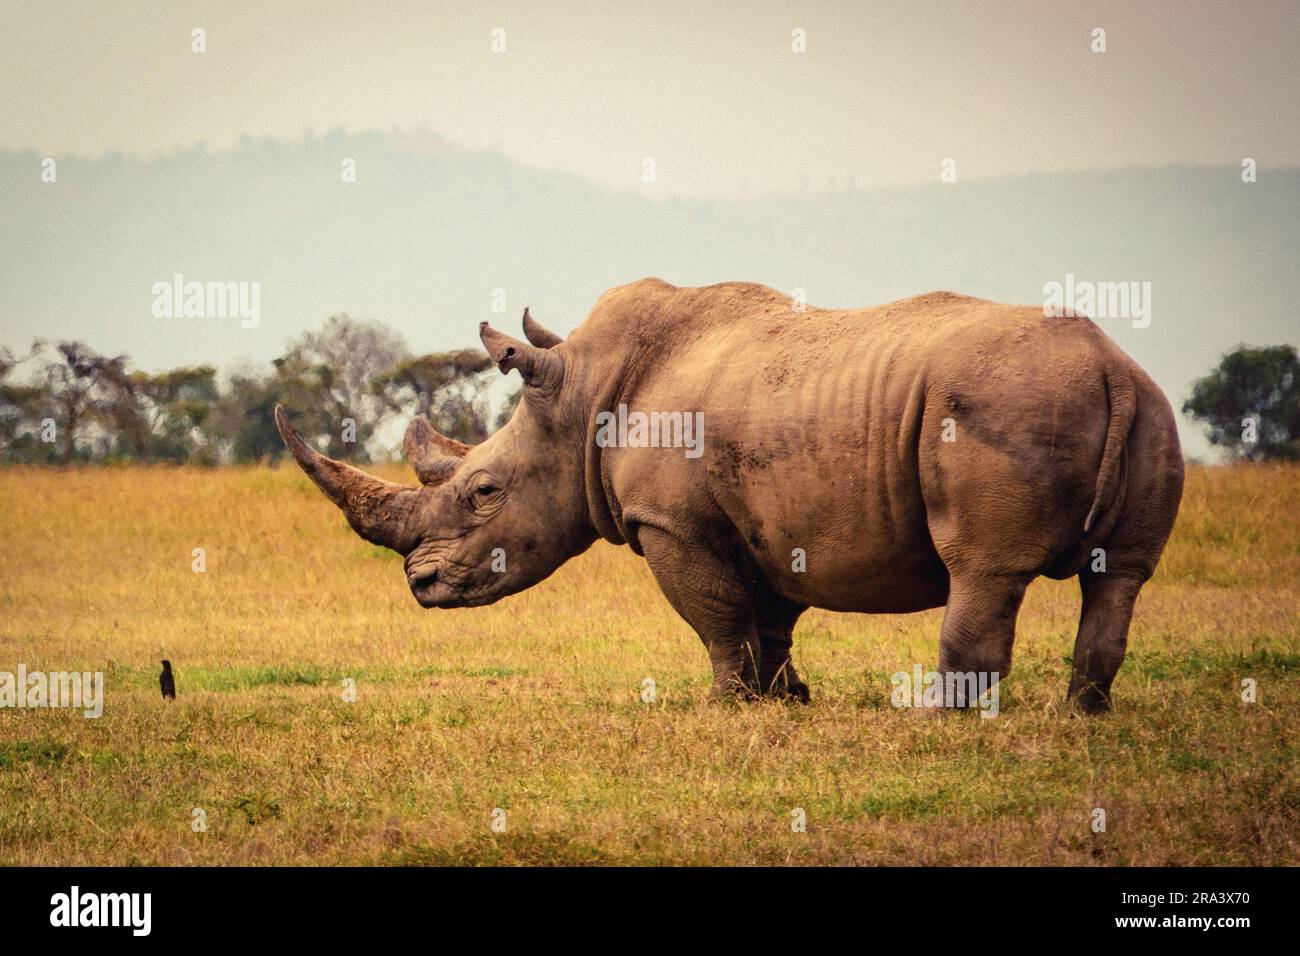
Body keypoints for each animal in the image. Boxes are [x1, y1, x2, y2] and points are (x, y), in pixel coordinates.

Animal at [275, 279, 1183, 712]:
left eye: (483, 492)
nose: (419, 584)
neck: (580, 397)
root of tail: (1109, 367)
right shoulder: (767, 518)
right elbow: (768, 617)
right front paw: (789, 701)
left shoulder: (671, 524)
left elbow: (714, 615)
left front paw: (726, 706)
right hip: (1149, 409)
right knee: (1120, 577)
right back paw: (1082, 717)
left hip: (1003, 408)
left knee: (983, 571)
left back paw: (938, 720)